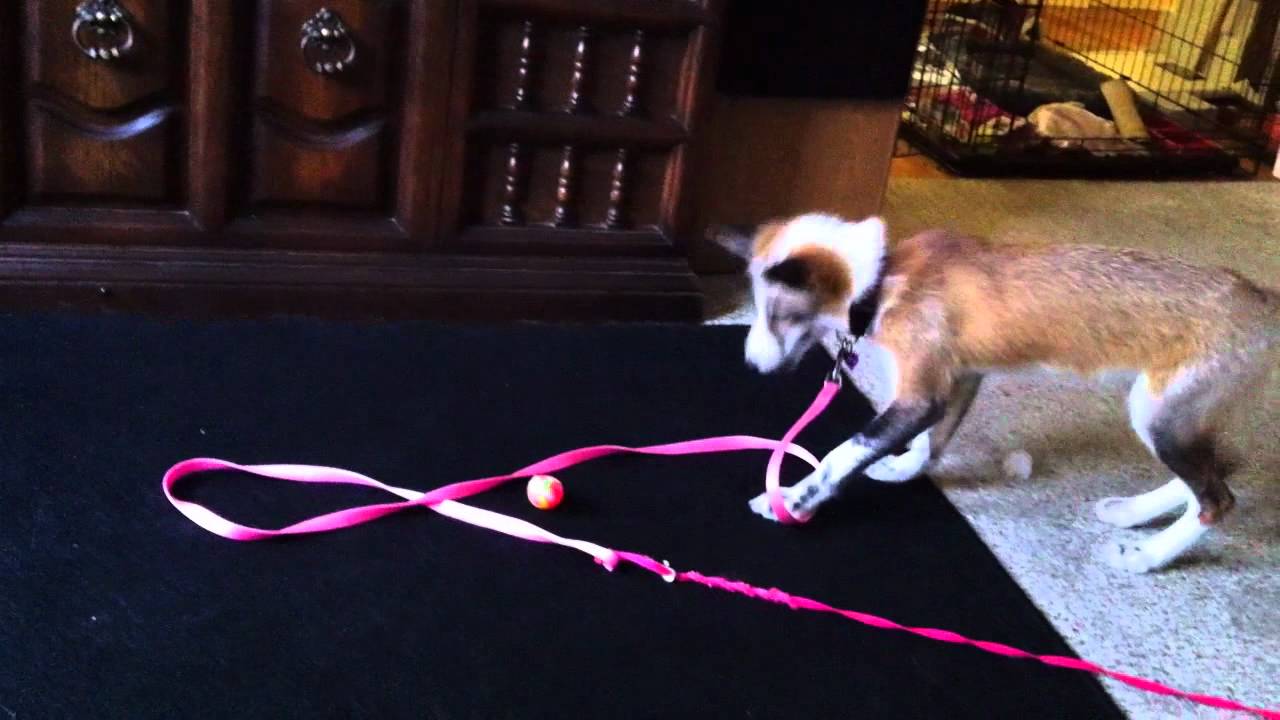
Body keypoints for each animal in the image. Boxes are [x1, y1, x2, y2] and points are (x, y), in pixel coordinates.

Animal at [713, 213, 1279, 573]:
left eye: (778, 315)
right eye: (758, 309)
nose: (751, 364)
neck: (885, 281)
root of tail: (1261, 299)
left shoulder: (921, 393)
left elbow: (841, 454)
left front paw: (793, 500)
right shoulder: (958, 377)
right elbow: (931, 444)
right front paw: (903, 469)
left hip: (1157, 415)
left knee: (1217, 500)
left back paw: (1147, 558)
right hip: (1175, 418)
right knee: (1216, 474)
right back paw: (1133, 516)